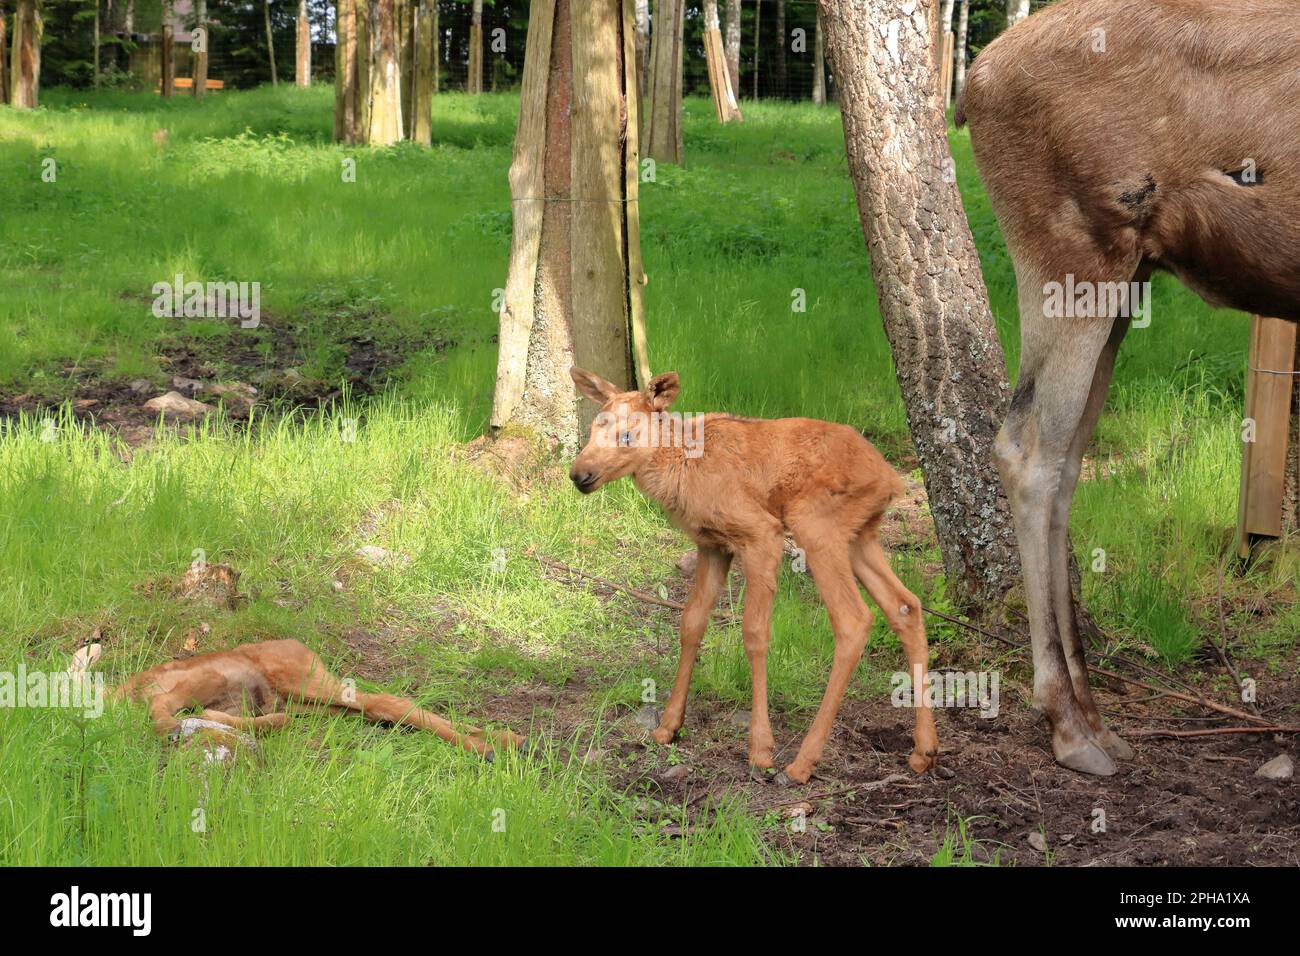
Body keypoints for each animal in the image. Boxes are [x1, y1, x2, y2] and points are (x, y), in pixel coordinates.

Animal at [71, 637, 526, 759]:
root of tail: (304, 647)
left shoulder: (189, 682)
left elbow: (167, 711)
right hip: (310, 700)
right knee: (380, 706)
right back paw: (502, 740)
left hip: (304, 683)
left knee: (386, 701)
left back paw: (497, 744)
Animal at [568, 366, 939, 785]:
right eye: (592, 428)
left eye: (628, 434)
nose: (579, 474)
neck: (680, 467)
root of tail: (892, 478)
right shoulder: (712, 546)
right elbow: (692, 622)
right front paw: (668, 725)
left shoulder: (760, 533)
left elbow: (755, 632)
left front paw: (760, 749)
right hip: (860, 536)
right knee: (905, 605)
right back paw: (924, 749)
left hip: (815, 523)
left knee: (854, 618)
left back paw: (803, 761)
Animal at [957, 0, 1300, 775]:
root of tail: (972, 84)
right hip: (1075, 254)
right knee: (1029, 449)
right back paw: (1068, 721)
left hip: (1128, 275)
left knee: (1068, 455)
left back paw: (1094, 711)